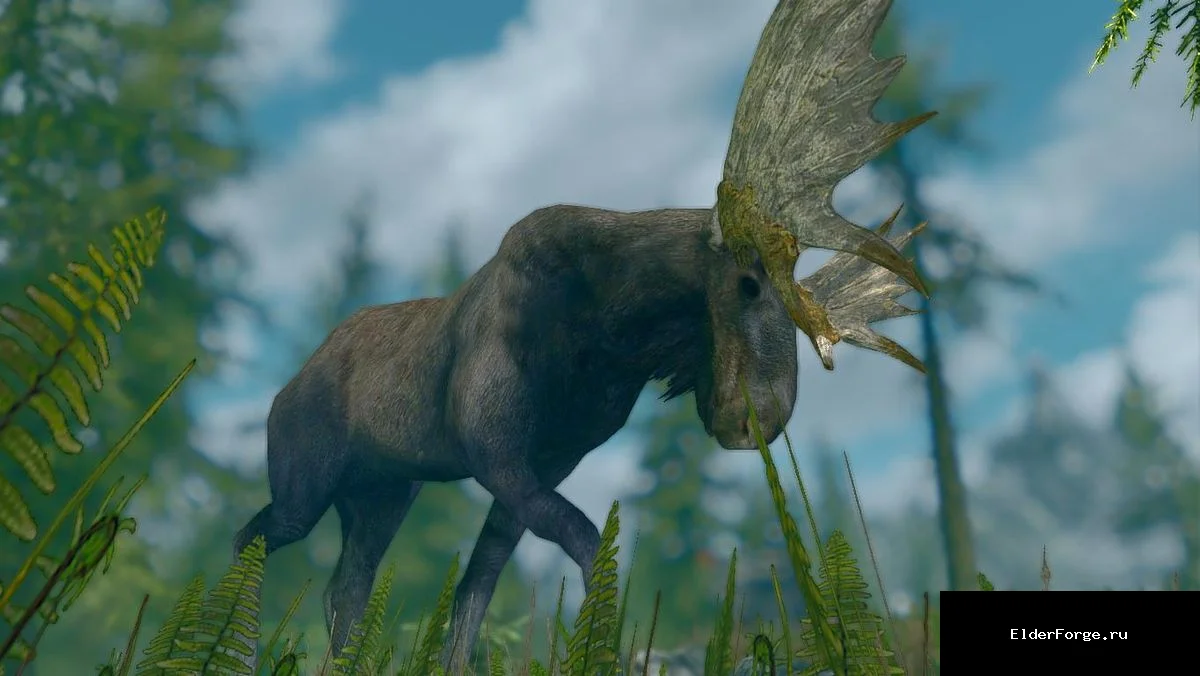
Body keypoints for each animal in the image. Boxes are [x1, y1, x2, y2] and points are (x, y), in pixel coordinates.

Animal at [232, 0, 935, 672]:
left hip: (383, 492)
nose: (759, 416)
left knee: (346, 585)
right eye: (748, 283)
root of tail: (284, 390)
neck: (611, 339)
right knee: (255, 537)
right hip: (307, 484)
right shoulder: (496, 454)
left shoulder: (550, 459)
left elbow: (479, 585)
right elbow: (589, 547)